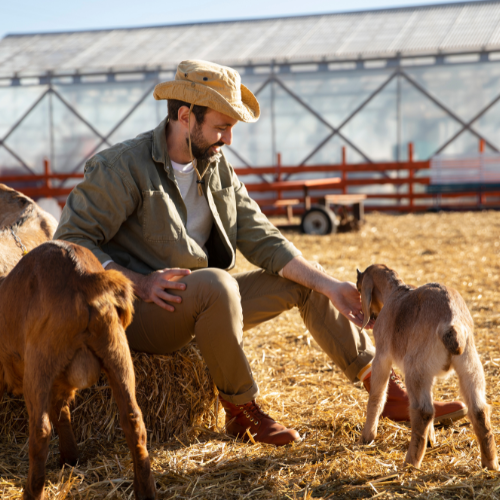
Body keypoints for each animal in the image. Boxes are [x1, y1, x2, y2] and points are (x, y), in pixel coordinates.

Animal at [0, 240, 156, 498]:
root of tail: (81, 275)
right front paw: (70, 458)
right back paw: (145, 490)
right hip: (116, 351)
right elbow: (61, 410)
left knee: (40, 430)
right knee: (133, 420)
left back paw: (32, 492)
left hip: (39, 362)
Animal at [358, 264, 498, 470]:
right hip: (469, 365)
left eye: (359, 288)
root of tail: (451, 324)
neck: (395, 292)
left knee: (423, 411)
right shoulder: (430, 374)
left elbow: (377, 396)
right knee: (478, 410)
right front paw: (431, 439)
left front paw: (367, 437)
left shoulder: (382, 357)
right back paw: (490, 464)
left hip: (415, 368)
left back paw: (410, 463)